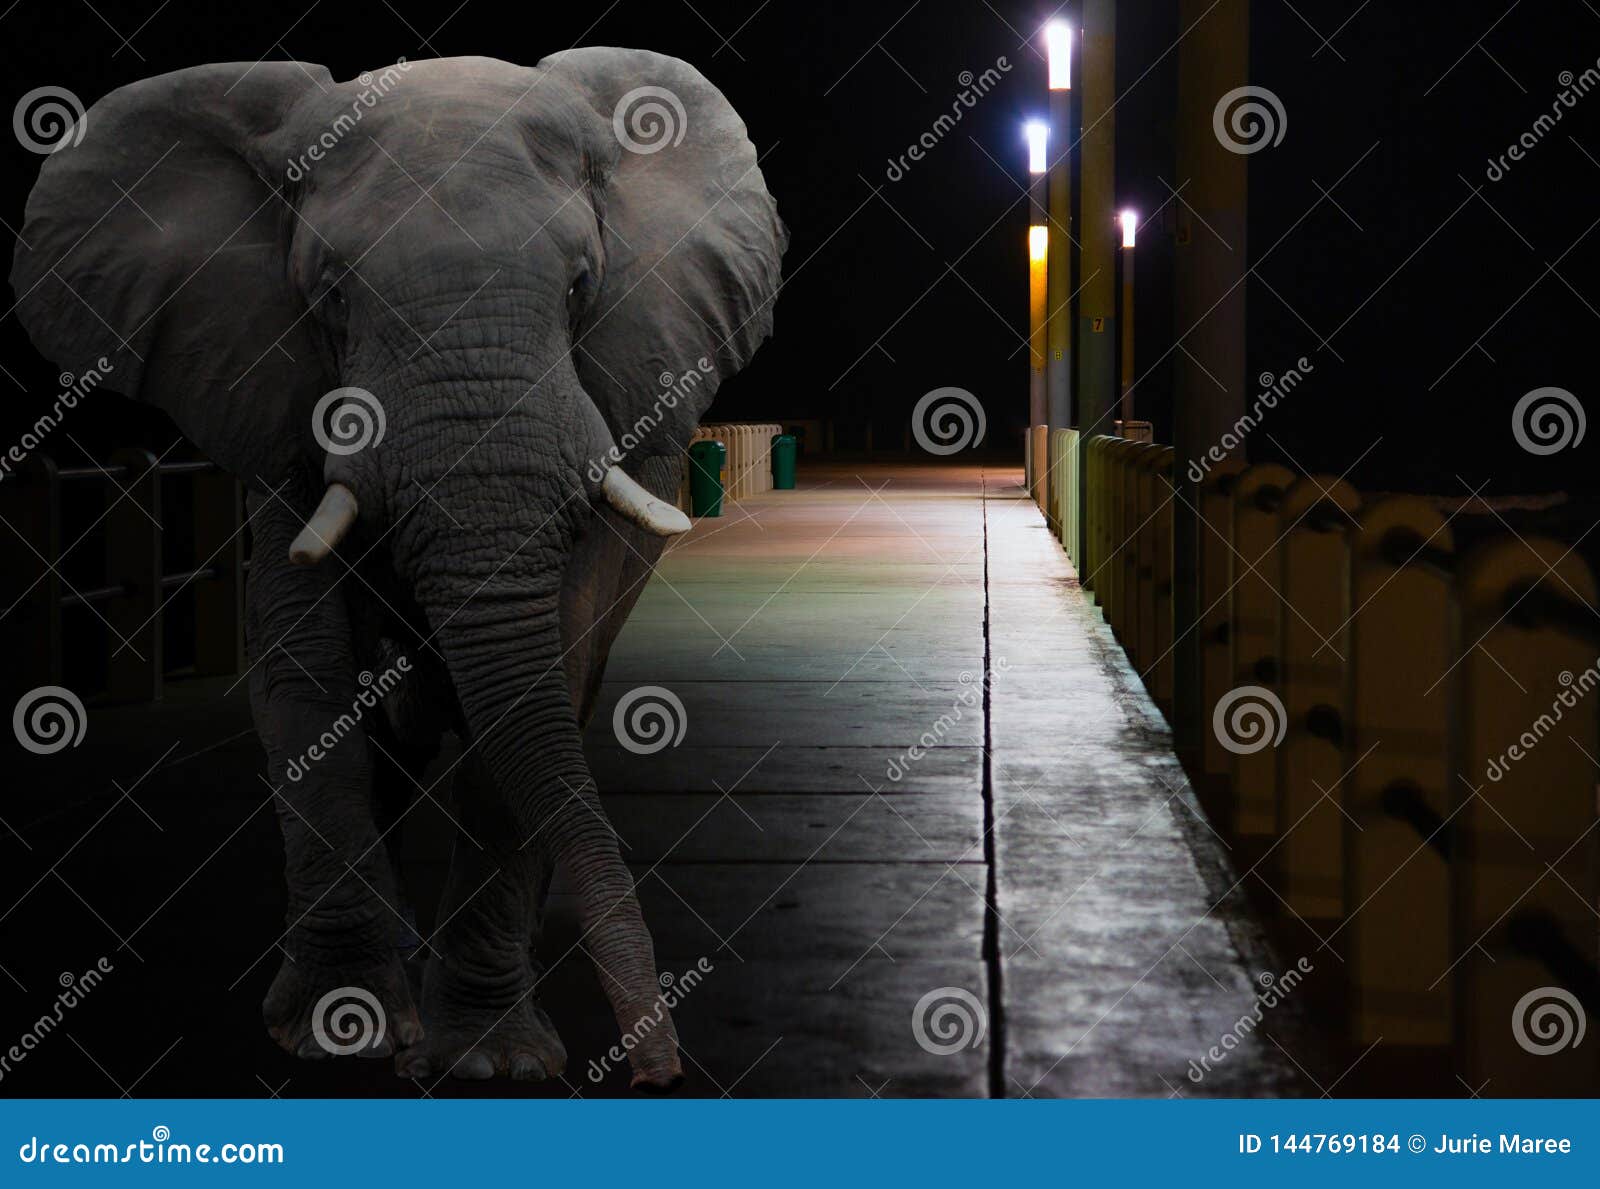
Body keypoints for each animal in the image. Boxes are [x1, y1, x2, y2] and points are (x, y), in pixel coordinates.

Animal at [9, 50, 786, 1089]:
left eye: (580, 286)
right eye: (332, 295)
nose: (657, 1068)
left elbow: (550, 664)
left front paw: (490, 1062)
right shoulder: (275, 393)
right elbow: (306, 665)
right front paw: (343, 1030)